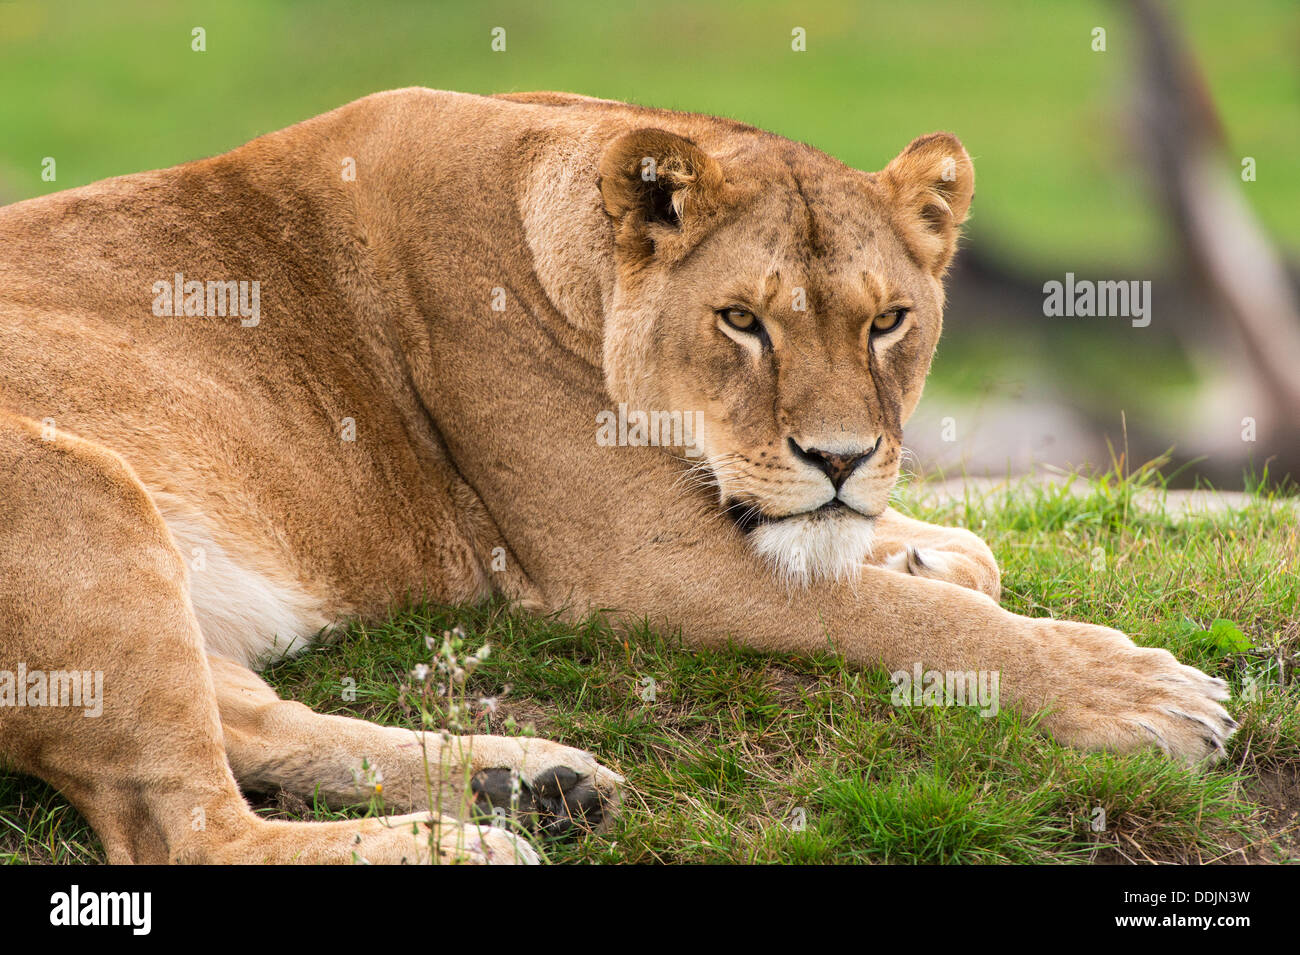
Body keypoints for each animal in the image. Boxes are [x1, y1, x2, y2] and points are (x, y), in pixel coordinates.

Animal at [0, 88, 1234, 865]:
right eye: (741, 322)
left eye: (889, 321)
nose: (839, 456)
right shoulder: (632, 562)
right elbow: (911, 621)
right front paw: (1140, 693)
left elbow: (911, 557)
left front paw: (933, 544)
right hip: (81, 483)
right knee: (185, 832)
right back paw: (465, 846)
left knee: (245, 718)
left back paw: (536, 785)